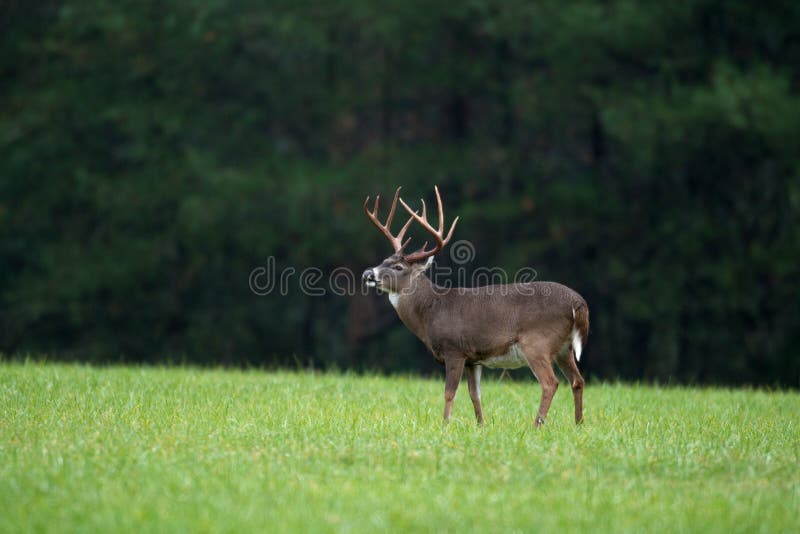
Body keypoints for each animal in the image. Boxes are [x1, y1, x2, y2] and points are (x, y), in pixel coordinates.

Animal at [361, 186, 589, 426]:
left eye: (398, 267)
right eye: (383, 260)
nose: (367, 274)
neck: (431, 311)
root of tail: (578, 302)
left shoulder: (454, 349)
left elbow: (449, 393)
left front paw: (445, 424)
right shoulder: (474, 358)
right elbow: (475, 394)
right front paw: (481, 425)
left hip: (537, 342)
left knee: (550, 383)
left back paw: (537, 425)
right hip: (564, 347)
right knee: (577, 380)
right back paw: (578, 424)